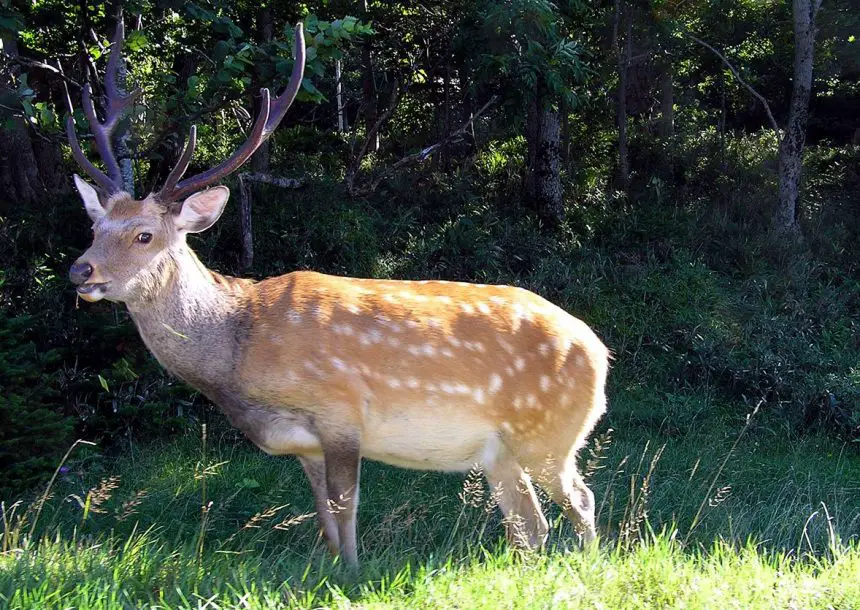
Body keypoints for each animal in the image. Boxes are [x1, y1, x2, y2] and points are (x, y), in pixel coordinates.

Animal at [66, 19, 609, 568]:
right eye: (94, 226)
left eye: (144, 236)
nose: (80, 270)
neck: (239, 351)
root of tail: (600, 351)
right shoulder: (303, 446)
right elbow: (324, 519)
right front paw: (331, 568)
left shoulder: (341, 412)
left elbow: (346, 509)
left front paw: (351, 572)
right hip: (499, 451)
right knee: (531, 524)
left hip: (550, 433)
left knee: (580, 500)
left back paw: (589, 563)